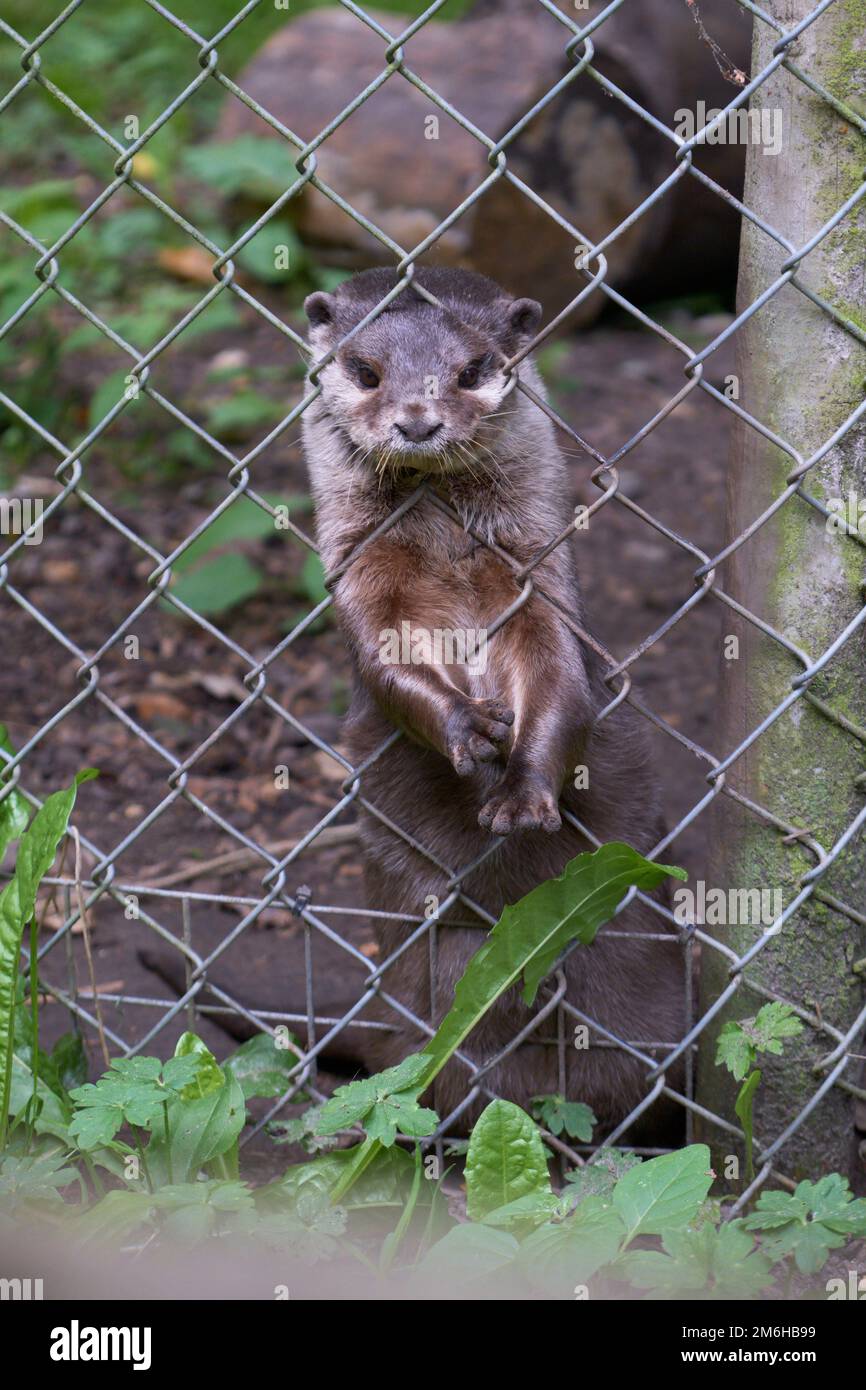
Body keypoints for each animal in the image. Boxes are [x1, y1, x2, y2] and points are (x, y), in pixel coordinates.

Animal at [302, 266, 684, 1140]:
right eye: (365, 371)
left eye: (473, 369)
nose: (416, 420)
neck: (445, 550)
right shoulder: (361, 580)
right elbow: (387, 663)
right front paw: (464, 724)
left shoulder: (538, 582)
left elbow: (557, 680)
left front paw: (523, 792)